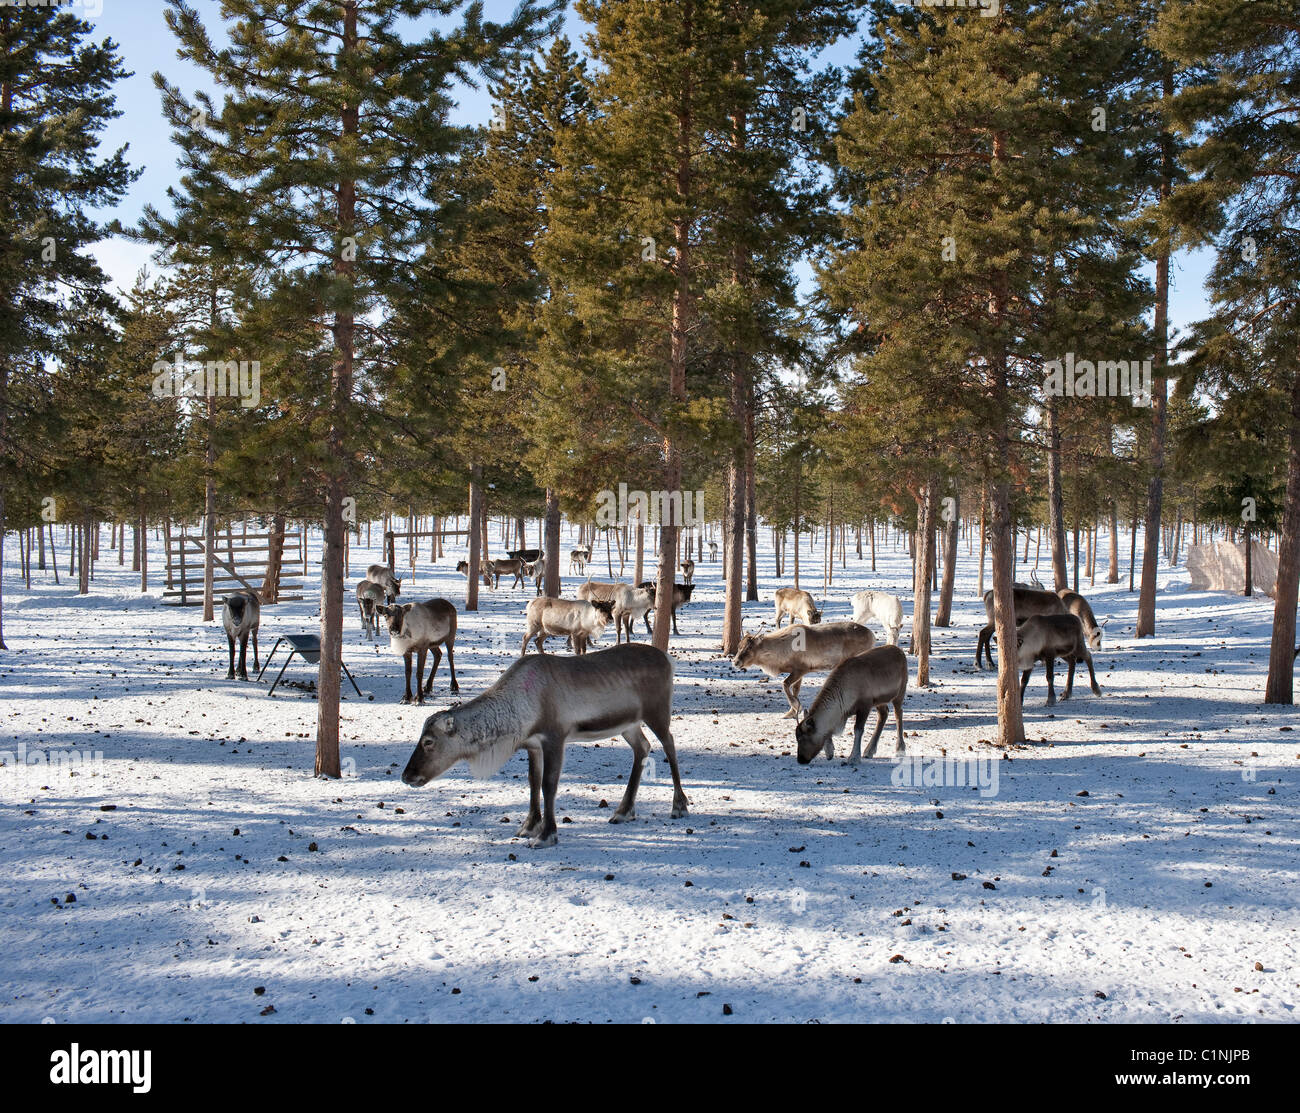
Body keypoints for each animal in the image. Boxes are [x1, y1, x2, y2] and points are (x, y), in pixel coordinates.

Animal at [400, 643, 689, 848]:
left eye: (428, 741)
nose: (406, 776)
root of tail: (668, 659)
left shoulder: (555, 737)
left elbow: (549, 785)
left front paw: (547, 835)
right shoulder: (533, 744)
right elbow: (533, 781)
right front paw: (529, 826)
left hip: (657, 712)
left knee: (670, 745)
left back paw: (679, 805)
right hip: (628, 724)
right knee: (643, 747)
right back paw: (623, 811)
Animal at [732, 621, 876, 719]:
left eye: (749, 648)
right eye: (739, 646)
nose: (735, 662)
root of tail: (872, 636)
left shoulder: (801, 669)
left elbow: (785, 684)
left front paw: (797, 706)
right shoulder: (799, 672)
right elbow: (795, 689)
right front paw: (791, 712)